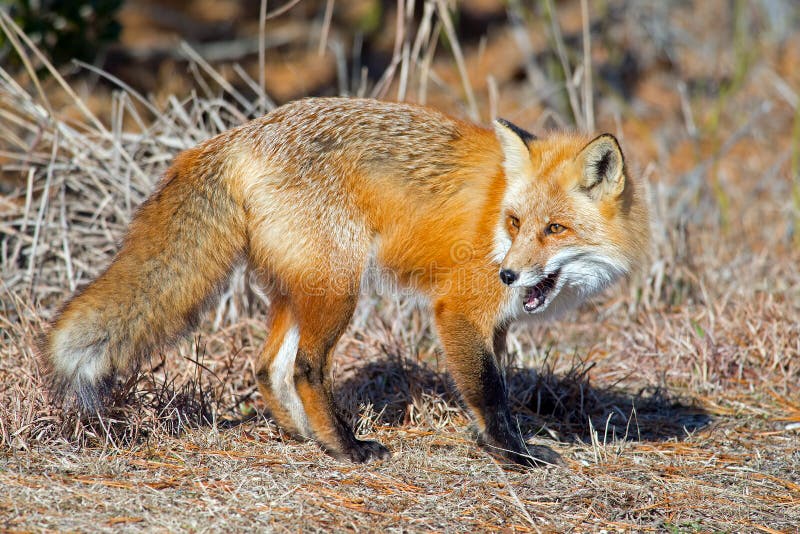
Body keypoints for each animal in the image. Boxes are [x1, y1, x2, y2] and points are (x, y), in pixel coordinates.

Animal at [44, 97, 648, 467]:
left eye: (555, 228)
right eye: (517, 223)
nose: (508, 272)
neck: (495, 219)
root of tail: (237, 135)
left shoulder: (494, 323)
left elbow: (492, 385)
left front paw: (499, 441)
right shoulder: (460, 308)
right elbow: (489, 390)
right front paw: (514, 456)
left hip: (302, 289)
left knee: (267, 366)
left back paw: (304, 436)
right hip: (338, 290)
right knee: (306, 368)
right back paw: (344, 447)